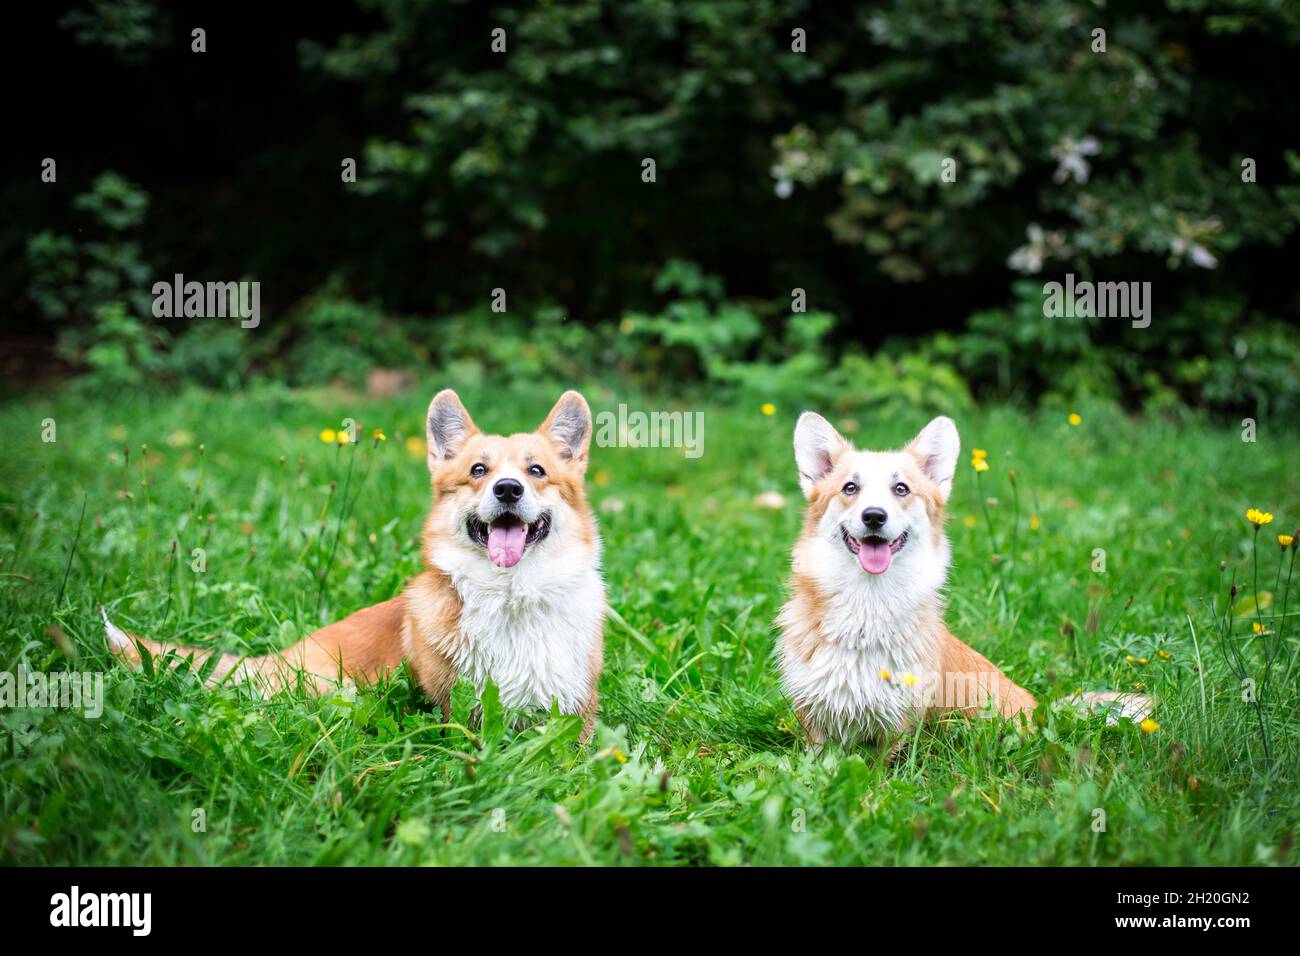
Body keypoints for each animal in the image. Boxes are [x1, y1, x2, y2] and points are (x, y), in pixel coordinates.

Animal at [105, 389, 607, 741]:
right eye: (478, 471)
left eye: (536, 471)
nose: (507, 489)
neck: (512, 593)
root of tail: (274, 660)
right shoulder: (461, 708)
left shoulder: (575, 709)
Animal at [776, 412, 1146, 748]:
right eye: (850, 488)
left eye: (901, 489)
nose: (874, 516)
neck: (867, 601)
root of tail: (1043, 711)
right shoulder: (815, 721)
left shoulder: (897, 726)